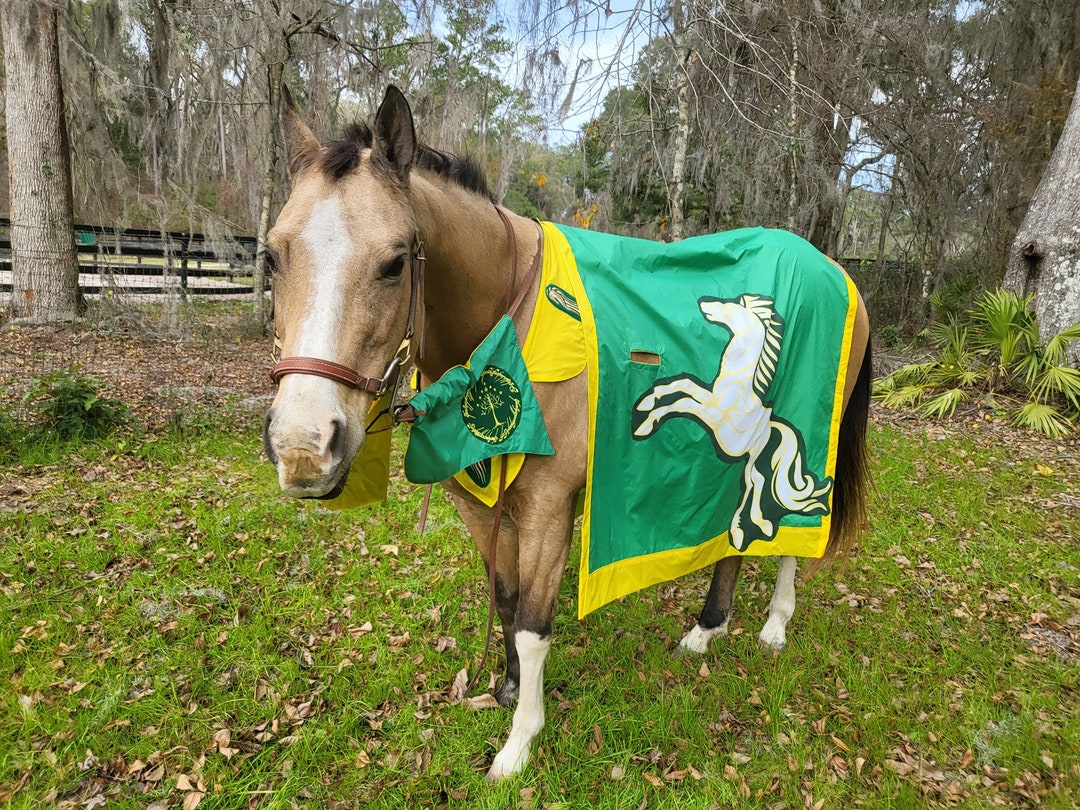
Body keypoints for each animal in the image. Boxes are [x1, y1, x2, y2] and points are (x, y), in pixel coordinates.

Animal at [262, 86, 872, 781]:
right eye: (272, 256)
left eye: (394, 264)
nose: (303, 449)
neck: (513, 325)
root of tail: (839, 272)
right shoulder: (482, 506)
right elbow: (505, 600)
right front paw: (505, 688)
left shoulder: (550, 512)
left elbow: (532, 622)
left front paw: (520, 742)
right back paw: (708, 628)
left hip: (815, 429)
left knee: (796, 520)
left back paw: (774, 624)